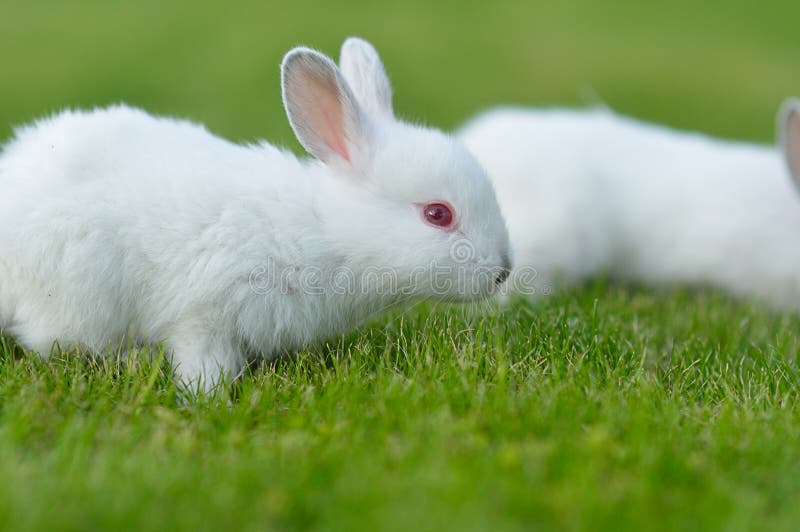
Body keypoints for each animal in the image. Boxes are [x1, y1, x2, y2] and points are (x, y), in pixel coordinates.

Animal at [0, 37, 512, 393]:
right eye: (438, 214)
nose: (503, 272)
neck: (327, 232)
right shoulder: (205, 313)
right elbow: (203, 358)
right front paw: (205, 396)